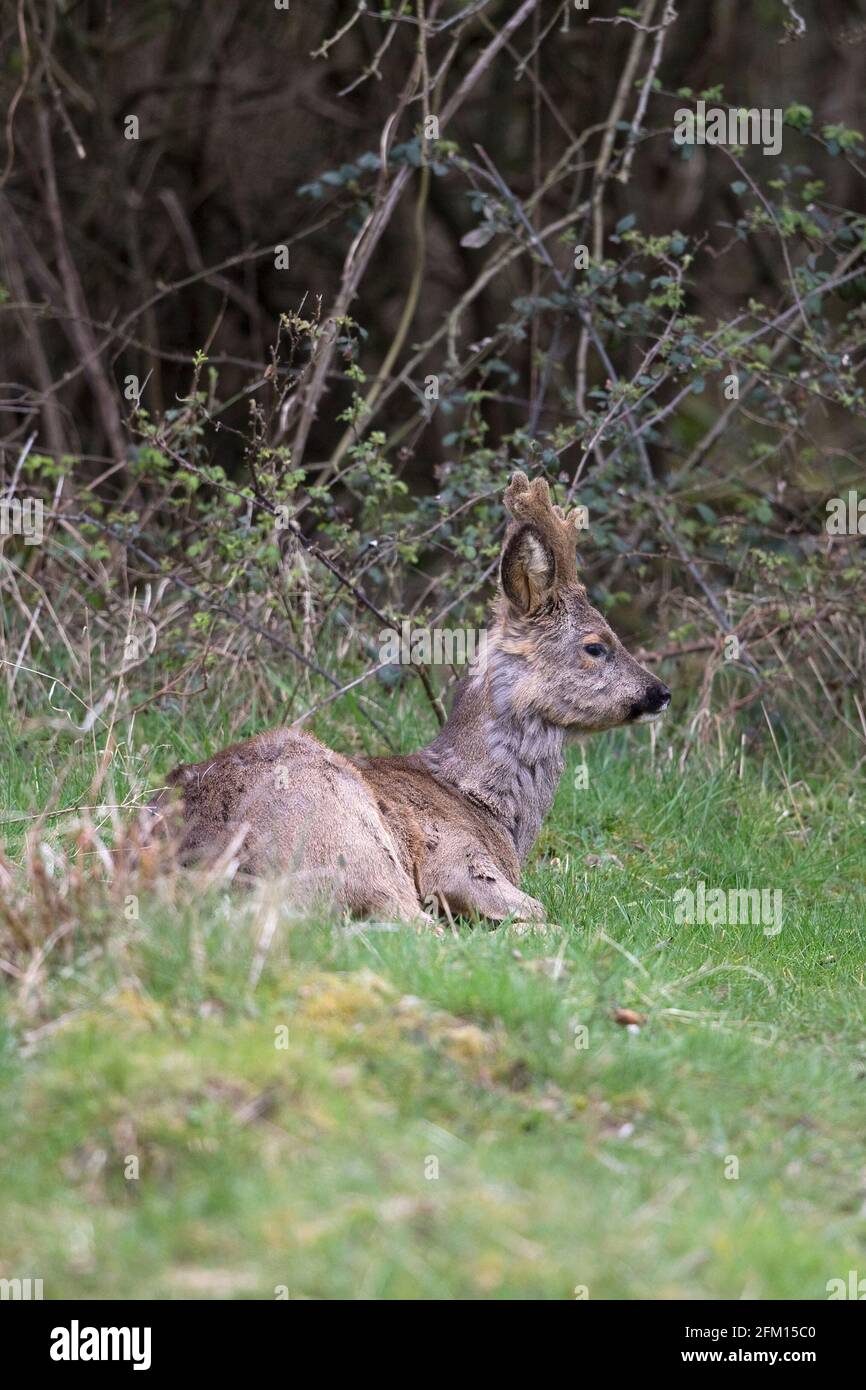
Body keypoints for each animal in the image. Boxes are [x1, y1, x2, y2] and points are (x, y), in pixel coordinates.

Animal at [145, 472, 670, 925]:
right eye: (596, 645)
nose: (661, 692)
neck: (485, 806)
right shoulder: (458, 860)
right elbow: (534, 908)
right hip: (348, 837)